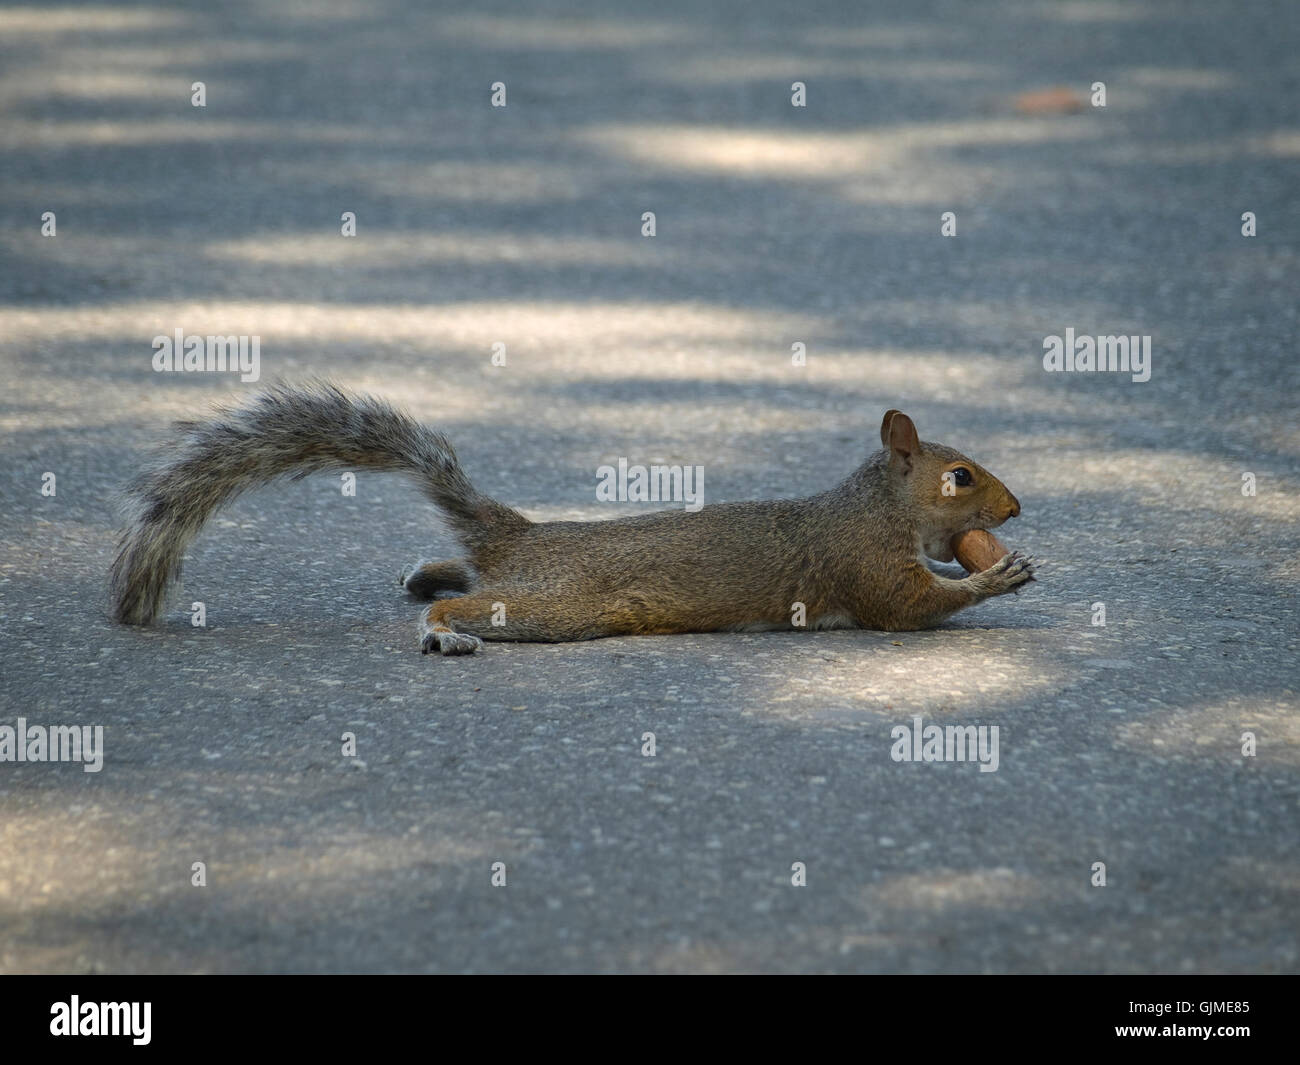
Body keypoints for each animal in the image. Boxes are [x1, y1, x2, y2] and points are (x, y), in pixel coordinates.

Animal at [110, 382, 1035, 655]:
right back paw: (444, 628)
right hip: (556, 603)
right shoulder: (865, 566)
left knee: (461, 568)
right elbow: (912, 607)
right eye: (960, 476)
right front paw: (997, 572)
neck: (874, 505)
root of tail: (523, 535)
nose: (1016, 508)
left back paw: (426, 572)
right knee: (477, 599)